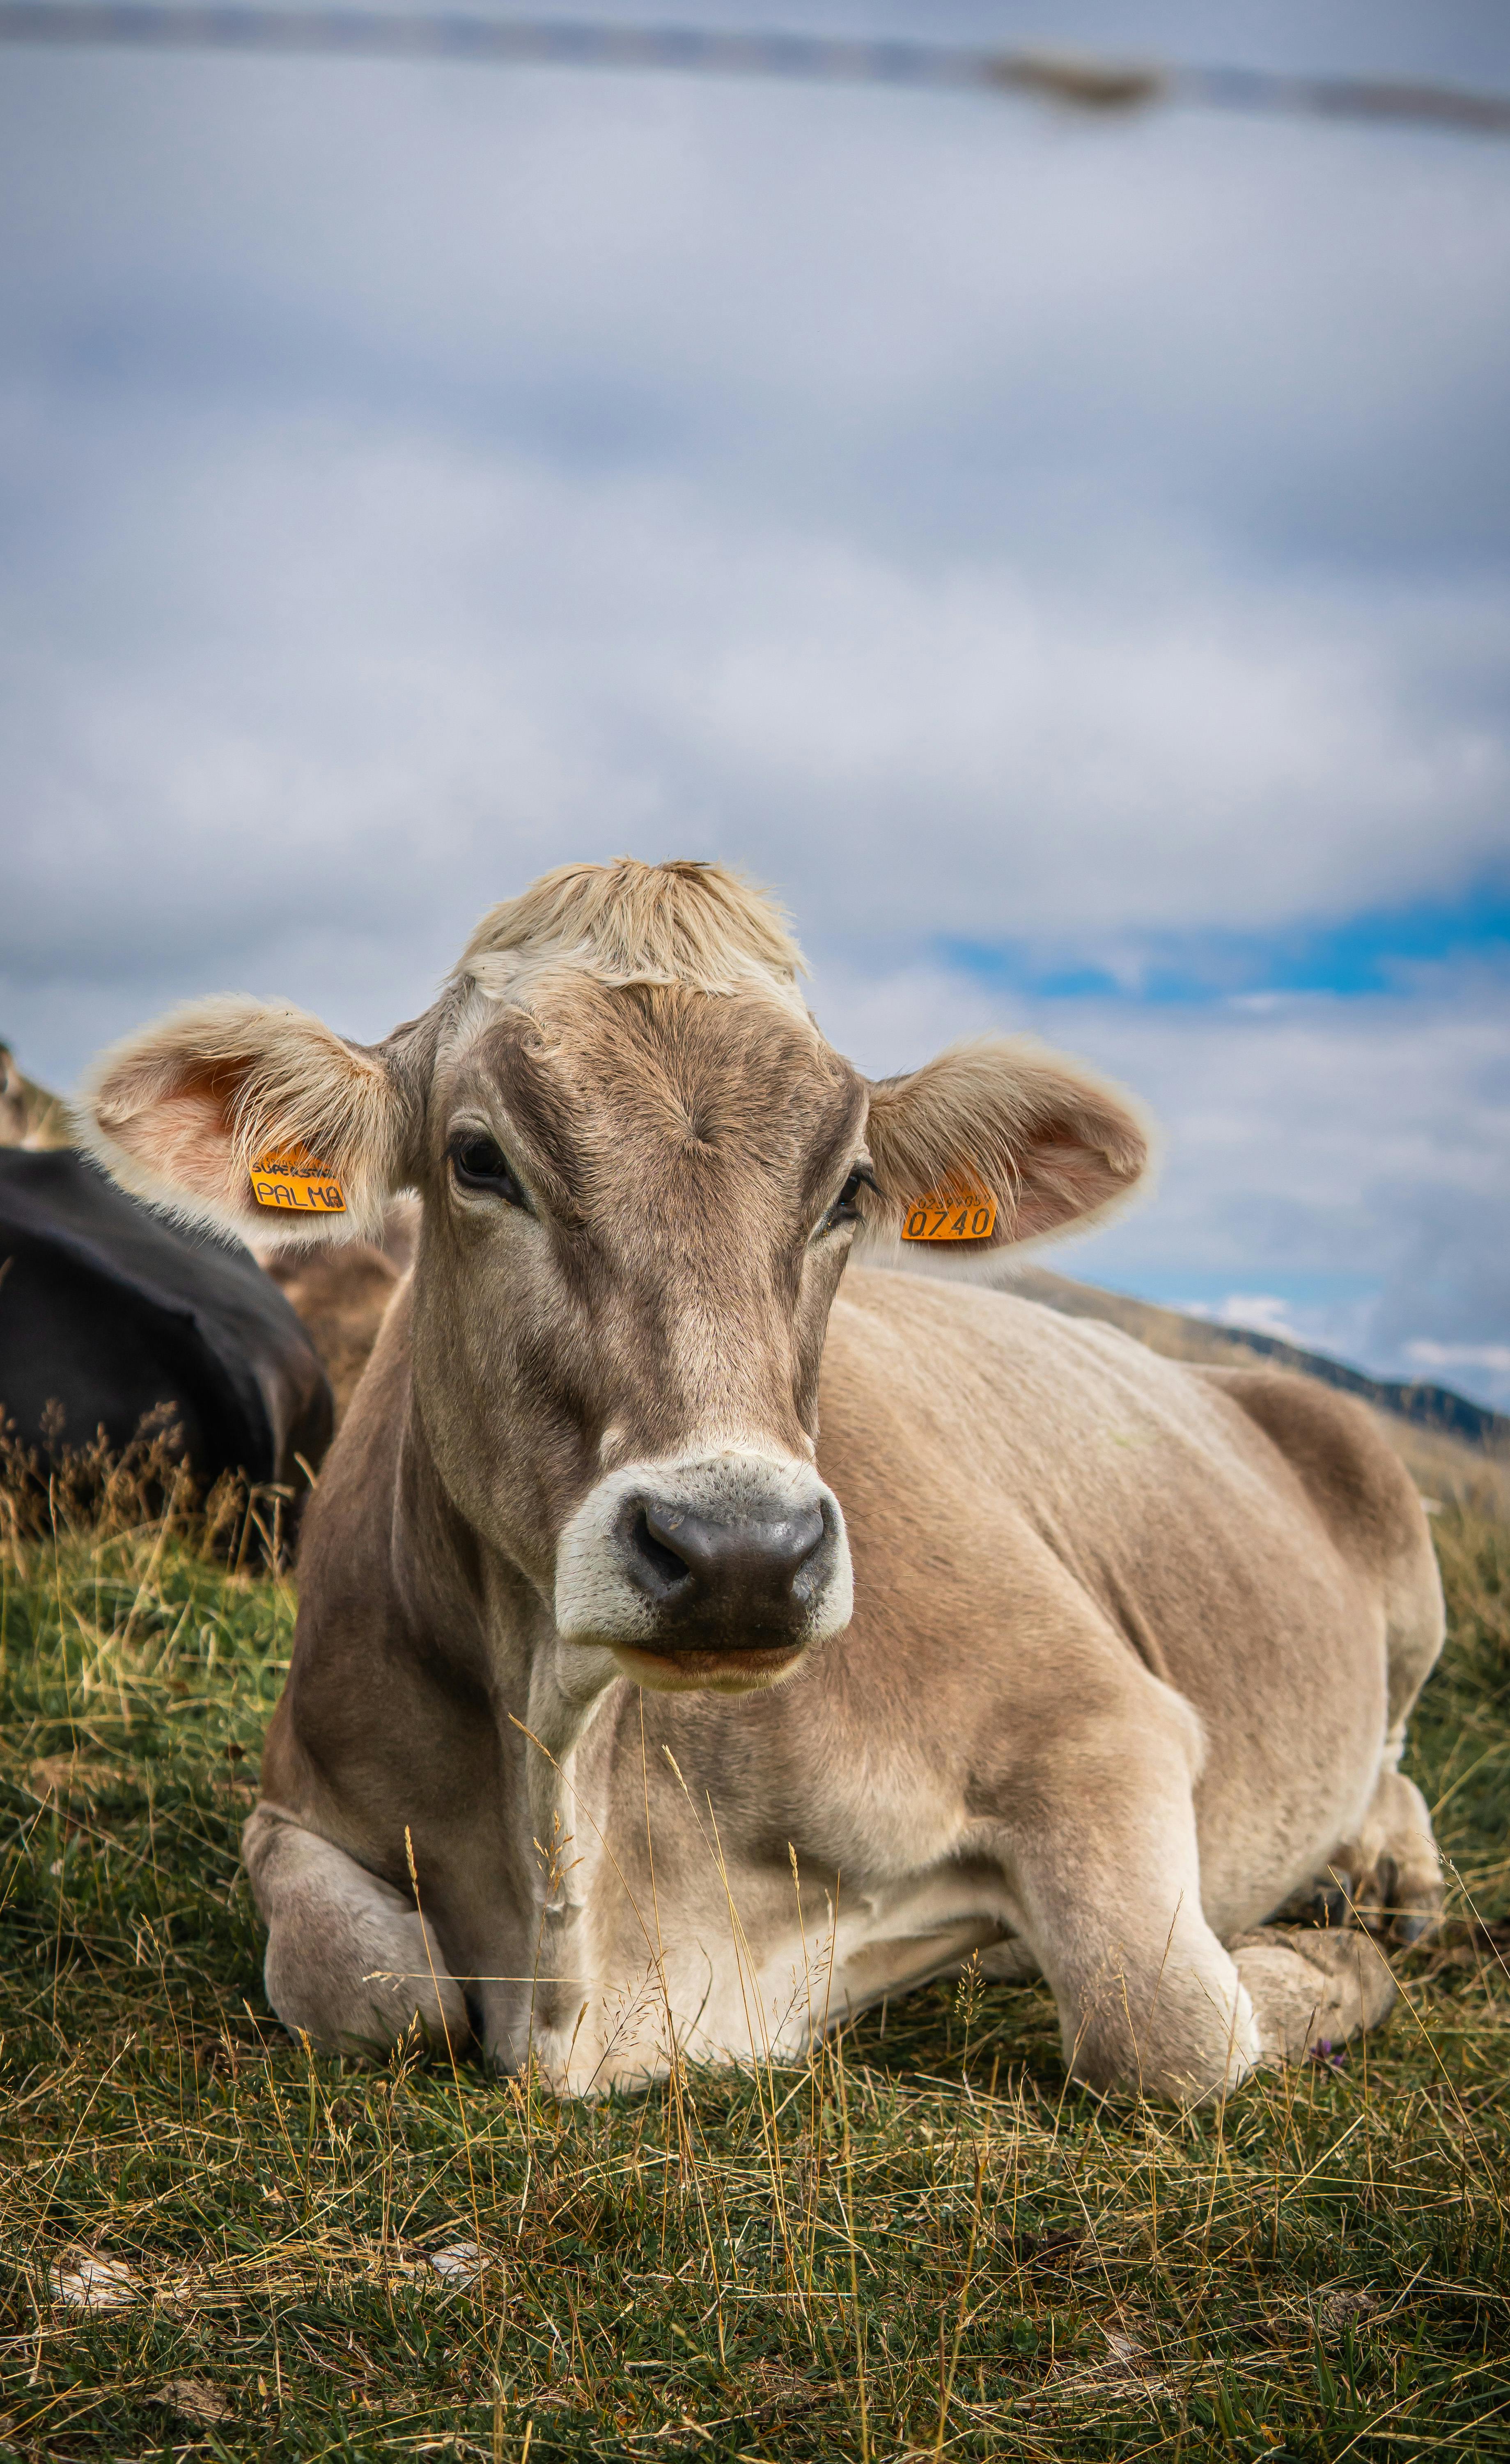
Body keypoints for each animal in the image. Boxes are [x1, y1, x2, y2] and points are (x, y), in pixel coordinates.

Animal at [79, 860, 1444, 2103]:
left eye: (850, 1186)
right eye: (478, 1160)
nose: (739, 1553)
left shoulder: (1098, 1724)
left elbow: (1167, 2028)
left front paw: (1321, 1964)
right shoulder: (294, 1802)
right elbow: (373, 1990)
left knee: (1388, 1756)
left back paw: (1389, 1881)